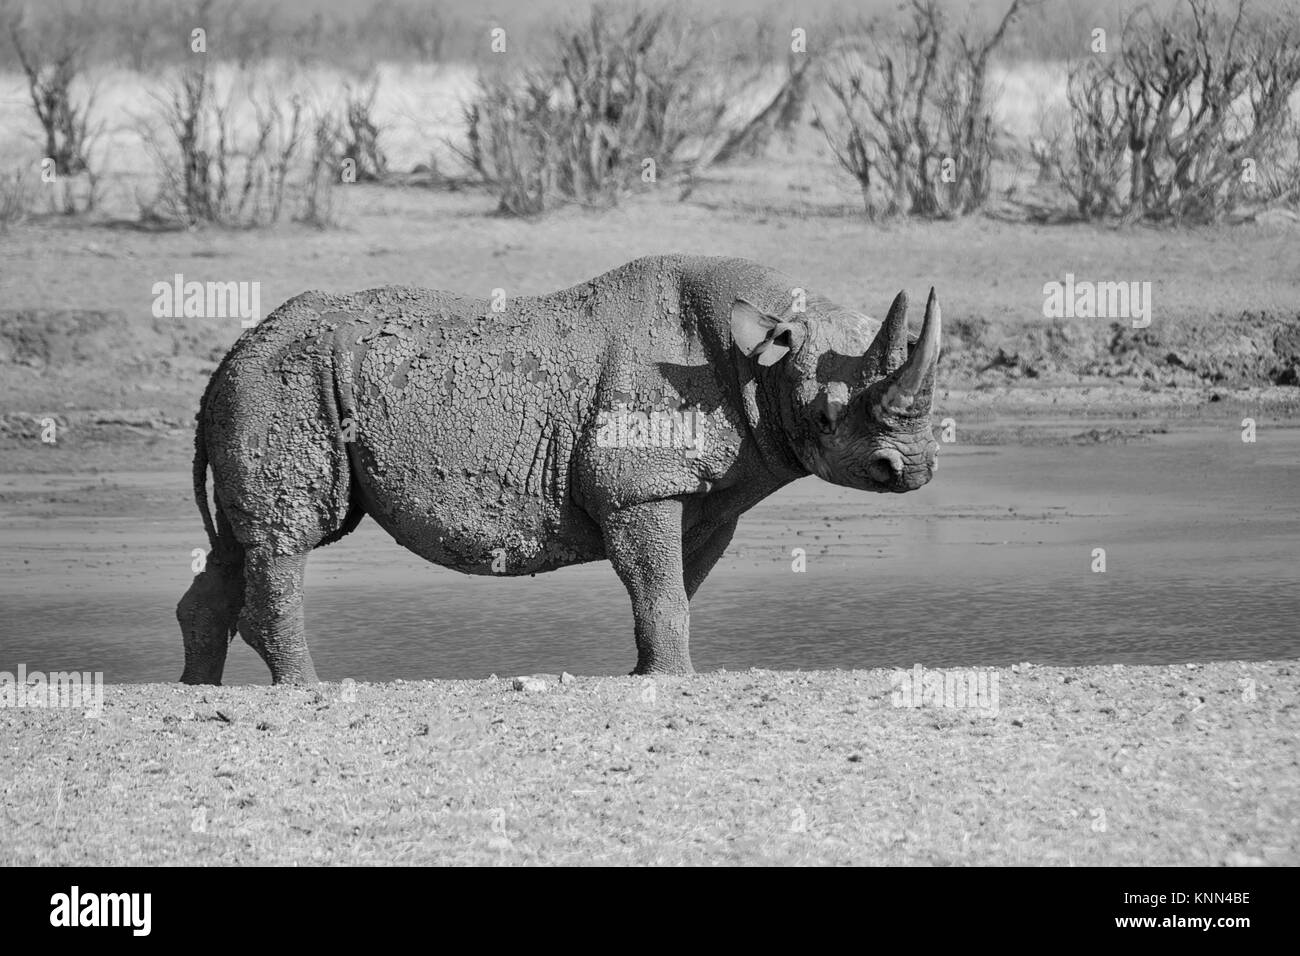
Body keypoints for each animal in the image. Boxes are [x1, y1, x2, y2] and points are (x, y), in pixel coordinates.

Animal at [177, 254, 941, 684]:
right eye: (826, 417)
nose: (911, 470)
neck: (760, 358)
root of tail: (232, 354)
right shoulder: (638, 490)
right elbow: (660, 590)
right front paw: (673, 679)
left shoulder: (705, 498)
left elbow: (670, 592)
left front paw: (648, 671)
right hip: (287, 382)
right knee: (290, 534)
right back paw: (305, 688)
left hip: (270, 382)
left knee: (239, 545)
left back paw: (199, 688)